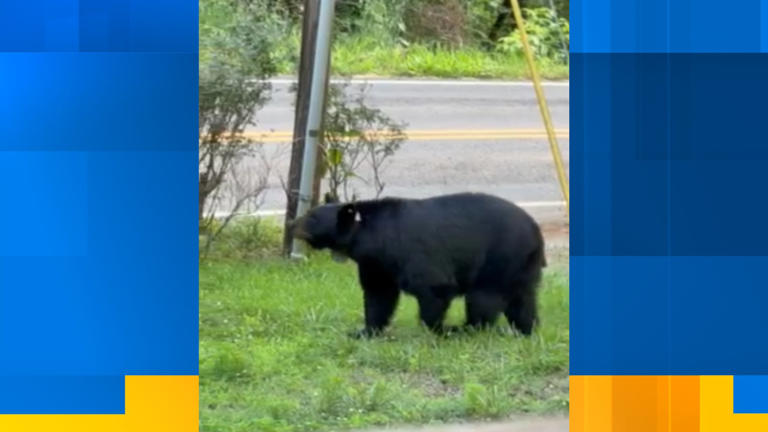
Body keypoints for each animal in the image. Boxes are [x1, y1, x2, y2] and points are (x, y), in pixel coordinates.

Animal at [290, 192, 546, 338]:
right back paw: (525, 328)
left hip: (499, 258)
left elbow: (433, 287)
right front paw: (364, 331)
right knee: (523, 299)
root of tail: (536, 229)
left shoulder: (412, 252)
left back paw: (464, 329)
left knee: (483, 299)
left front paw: (437, 329)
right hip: (521, 264)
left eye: (311, 217)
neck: (371, 236)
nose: (291, 223)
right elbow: (378, 294)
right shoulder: (376, 263)